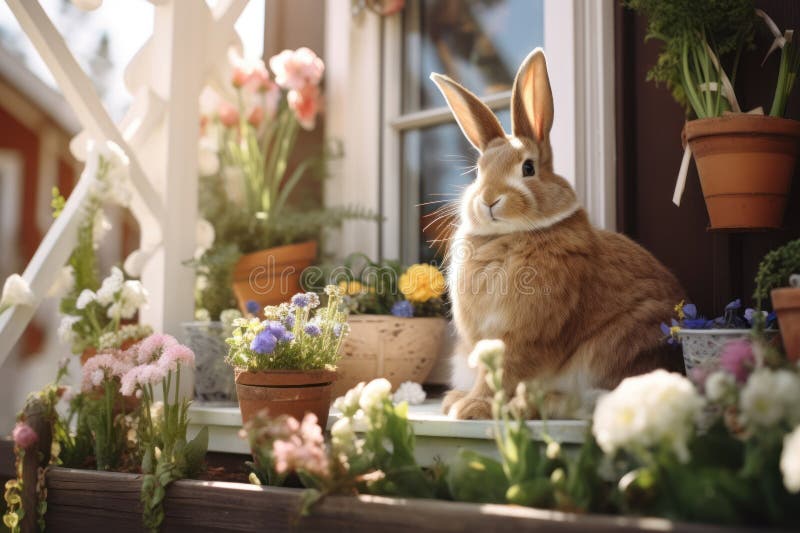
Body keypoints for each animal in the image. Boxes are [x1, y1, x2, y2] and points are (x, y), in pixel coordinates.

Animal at [431, 48, 685, 420]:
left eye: (528, 168)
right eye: (478, 171)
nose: (489, 199)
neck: (506, 237)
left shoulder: (525, 333)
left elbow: (503, 371)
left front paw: (473, 409)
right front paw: (464, 403)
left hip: (618, 346)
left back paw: (524, 406)